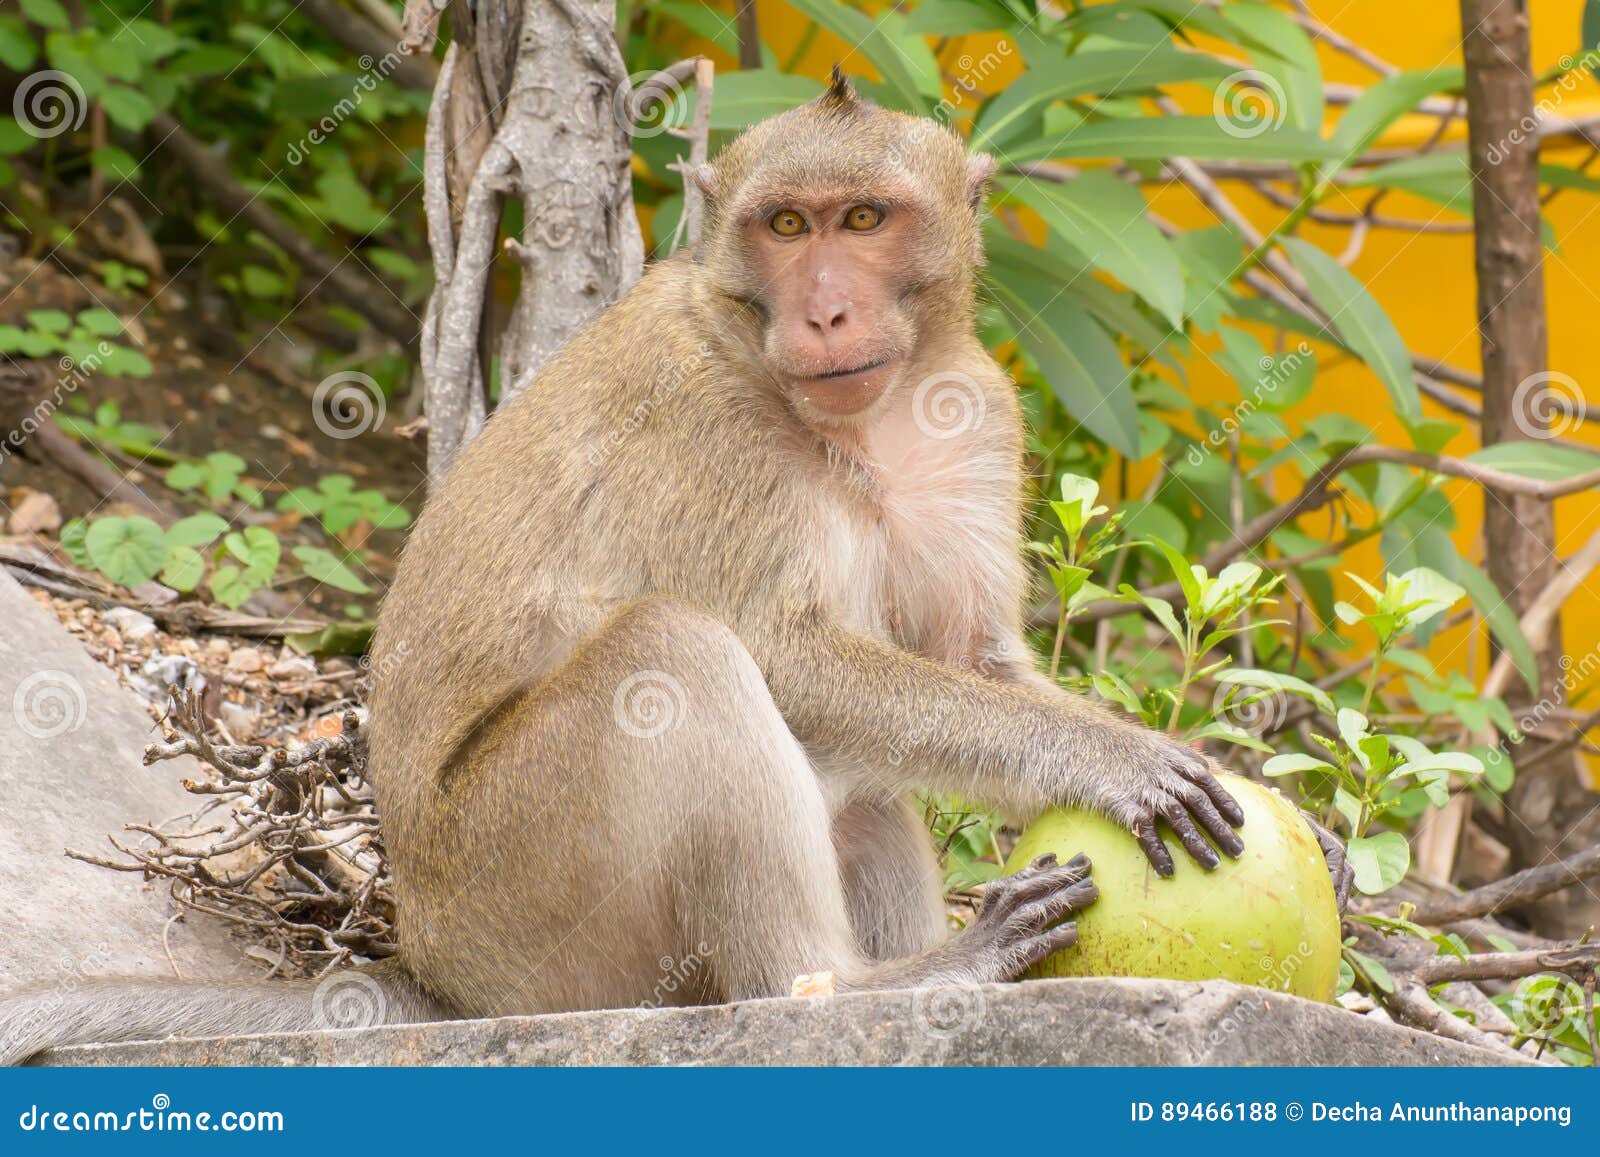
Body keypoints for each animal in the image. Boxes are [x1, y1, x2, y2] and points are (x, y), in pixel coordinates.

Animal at [0, 70, 1348, 1065]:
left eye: (863, 219)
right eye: (785, 225)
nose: (824, 311)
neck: (858, 412)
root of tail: (436, 972)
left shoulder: (980, 417)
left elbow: (972, 660)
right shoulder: (710, 424)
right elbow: (785, 654)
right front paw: (1116, 760)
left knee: (862, 787)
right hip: (530, 904)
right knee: (677, 654)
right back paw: (848, 985)